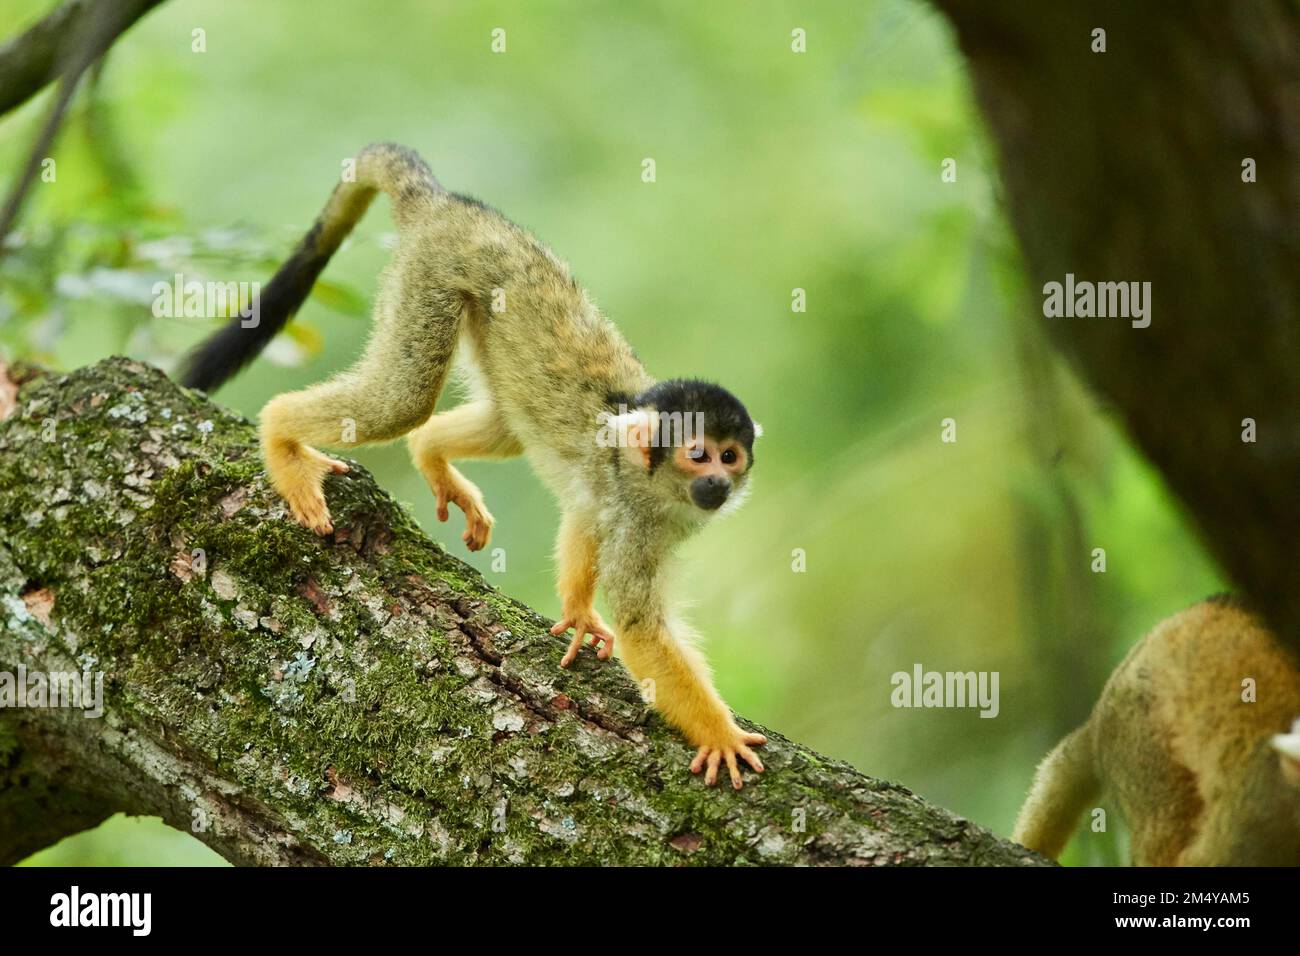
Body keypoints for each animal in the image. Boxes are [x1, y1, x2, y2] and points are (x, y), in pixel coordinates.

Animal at [180, 143, 766, 788]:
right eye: (699, 455)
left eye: (731, 457)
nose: (719, 483)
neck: (652, 486)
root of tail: (445, 202)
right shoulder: (637, 514)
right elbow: (642, 627)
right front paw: (720, 735)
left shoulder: (622, 504)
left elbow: (583, 514)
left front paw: (578, 613)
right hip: (428, 276)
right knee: (404, 398)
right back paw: (281, 434)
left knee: (504, 424)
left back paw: (430, 451)